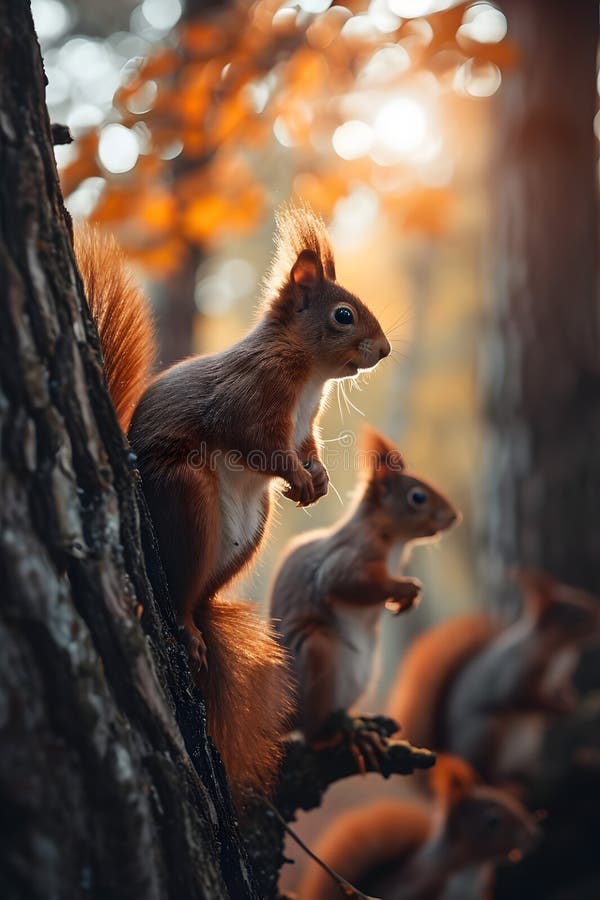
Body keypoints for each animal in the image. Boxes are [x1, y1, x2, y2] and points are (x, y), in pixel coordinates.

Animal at [74, 204, 391, 802]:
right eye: (343, 315)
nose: (383, 351)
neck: (308, 374)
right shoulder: (251, 400)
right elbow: (263, 447)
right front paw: (299, 478)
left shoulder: (304, 427)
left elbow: (307, 451)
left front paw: (315, 481)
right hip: (188, 495)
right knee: (181, 591)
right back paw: (188, 626)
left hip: (252, 531)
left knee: (202, 591)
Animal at [270, 426, 459, 751]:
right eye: (418, 497)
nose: (454, 516)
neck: (396, 543)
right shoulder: (349, 556)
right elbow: (349, 583)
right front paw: (406, 589)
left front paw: (407, 598)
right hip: (317, 655)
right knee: (312, 732)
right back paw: (344, 732)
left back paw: (362, 721)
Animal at [386, 569, 599, 789]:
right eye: (577, 612)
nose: (597, 617)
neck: (562, 652)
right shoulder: (514, 672)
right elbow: (520, 698)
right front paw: (559, 708)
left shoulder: (561, 678)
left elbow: (561, 689)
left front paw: (569, 701)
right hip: (486, 734)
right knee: (484, 775)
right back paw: (500, 782)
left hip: (527, 747)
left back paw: (524, 779)